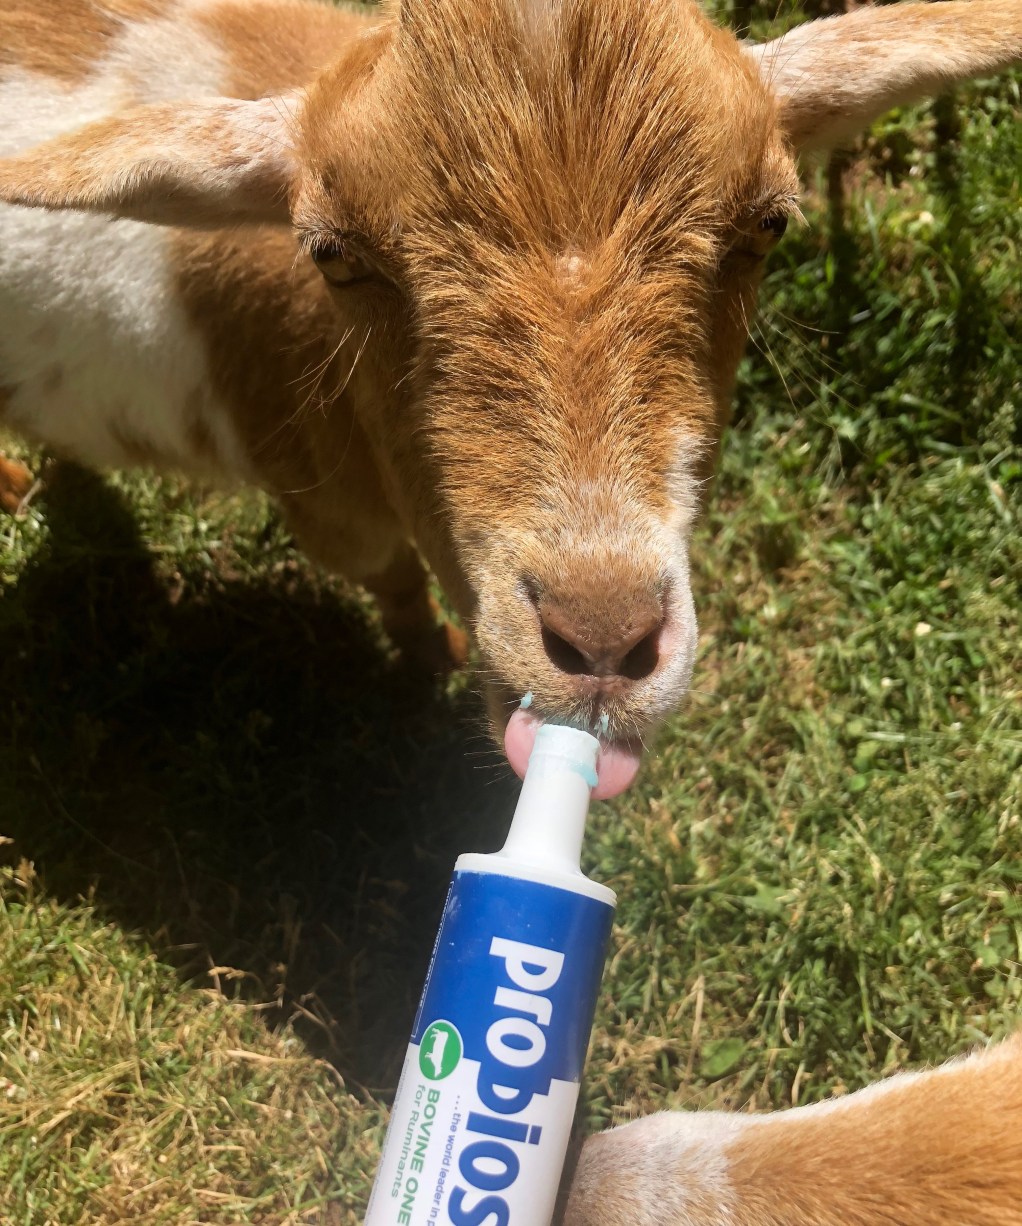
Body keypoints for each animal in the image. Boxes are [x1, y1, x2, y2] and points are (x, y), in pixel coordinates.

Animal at [1, 1, 1020, 1221]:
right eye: (333, 254)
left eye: (768, 225)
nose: (601, 636)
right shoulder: (328, 509)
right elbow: (390, 579)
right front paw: (421, 655)